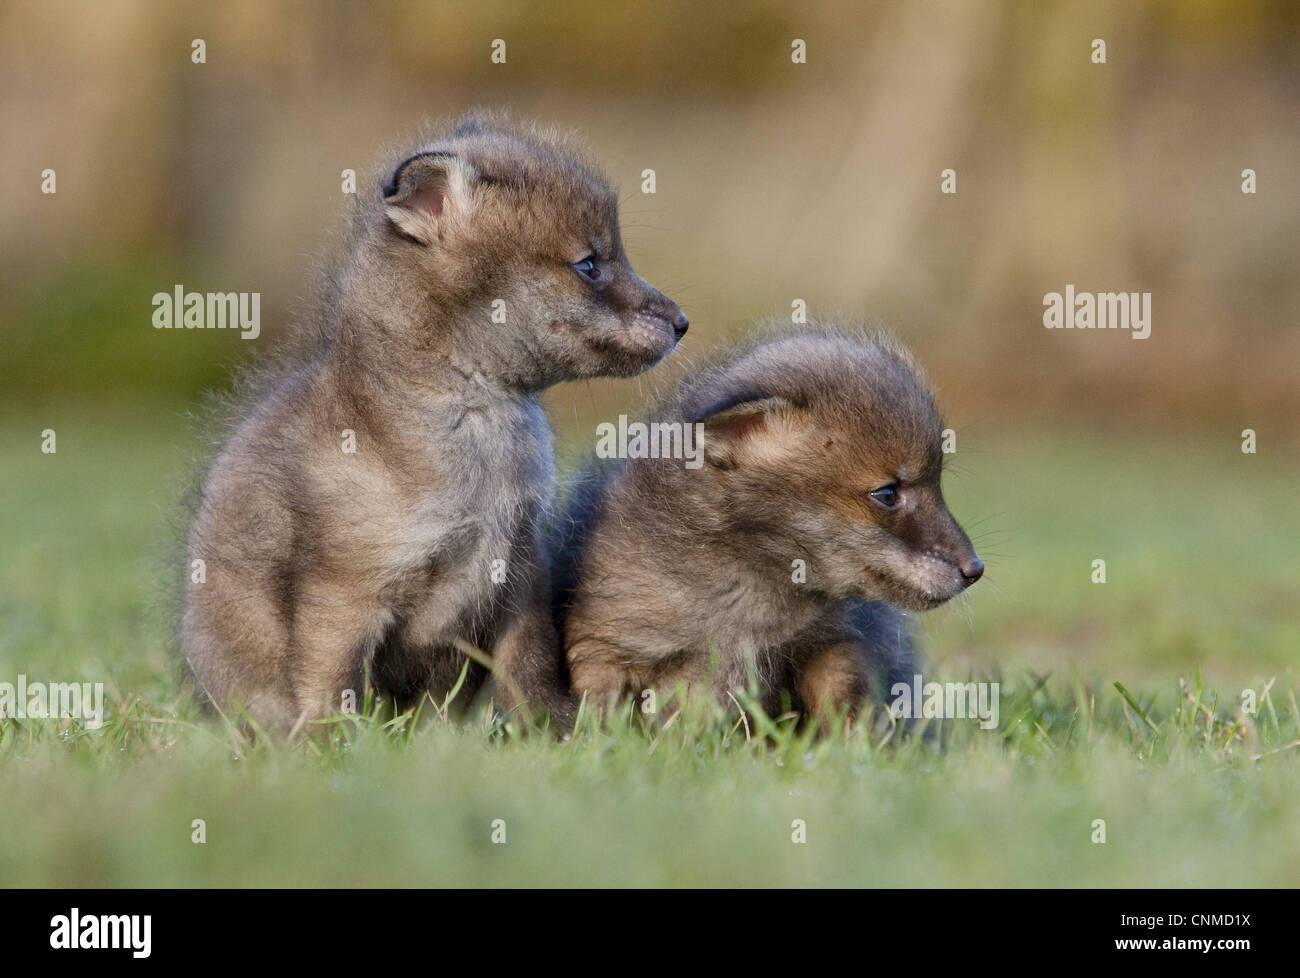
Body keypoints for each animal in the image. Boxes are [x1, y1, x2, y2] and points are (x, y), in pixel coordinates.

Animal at [182, 114, 688, 736]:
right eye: (589, 264)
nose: (683, 323)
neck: (477, 432)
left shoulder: (517, 568)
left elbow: (530, 664)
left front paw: (552, 731)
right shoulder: (343, 590)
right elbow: (331, 684)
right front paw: (328, 746)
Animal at [550, 325, 982, 727]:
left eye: (937, 485)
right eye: (887, 494)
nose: (975, 570)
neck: (750, 589)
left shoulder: (835, 645)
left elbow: (843, 715)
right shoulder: (601, 646)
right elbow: (600, 719)